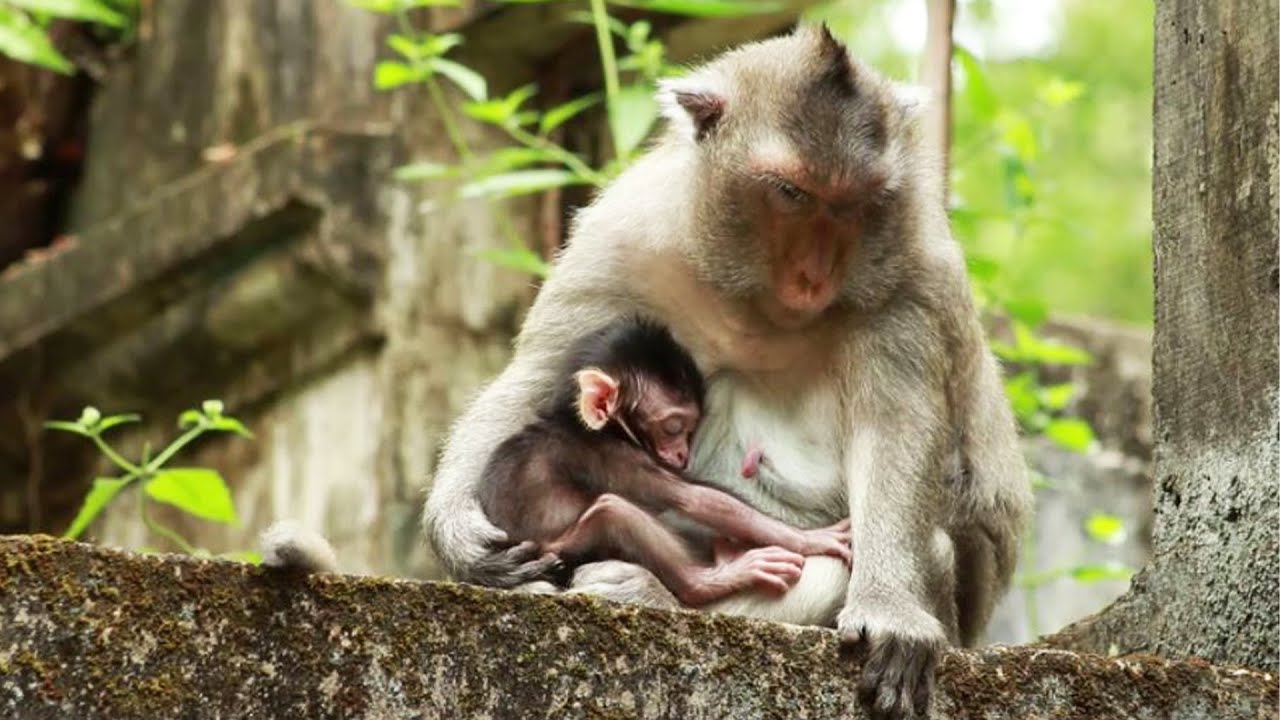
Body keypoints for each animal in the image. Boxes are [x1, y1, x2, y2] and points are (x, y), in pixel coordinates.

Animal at [474, 315, 852, 607]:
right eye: (673, 426)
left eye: (690, 429)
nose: (683, 453)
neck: (580, 422)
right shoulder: (609, 453)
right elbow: (696, 499)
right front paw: (812, 539)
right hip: (564, 550)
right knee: (614, 511)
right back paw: (711, 581)